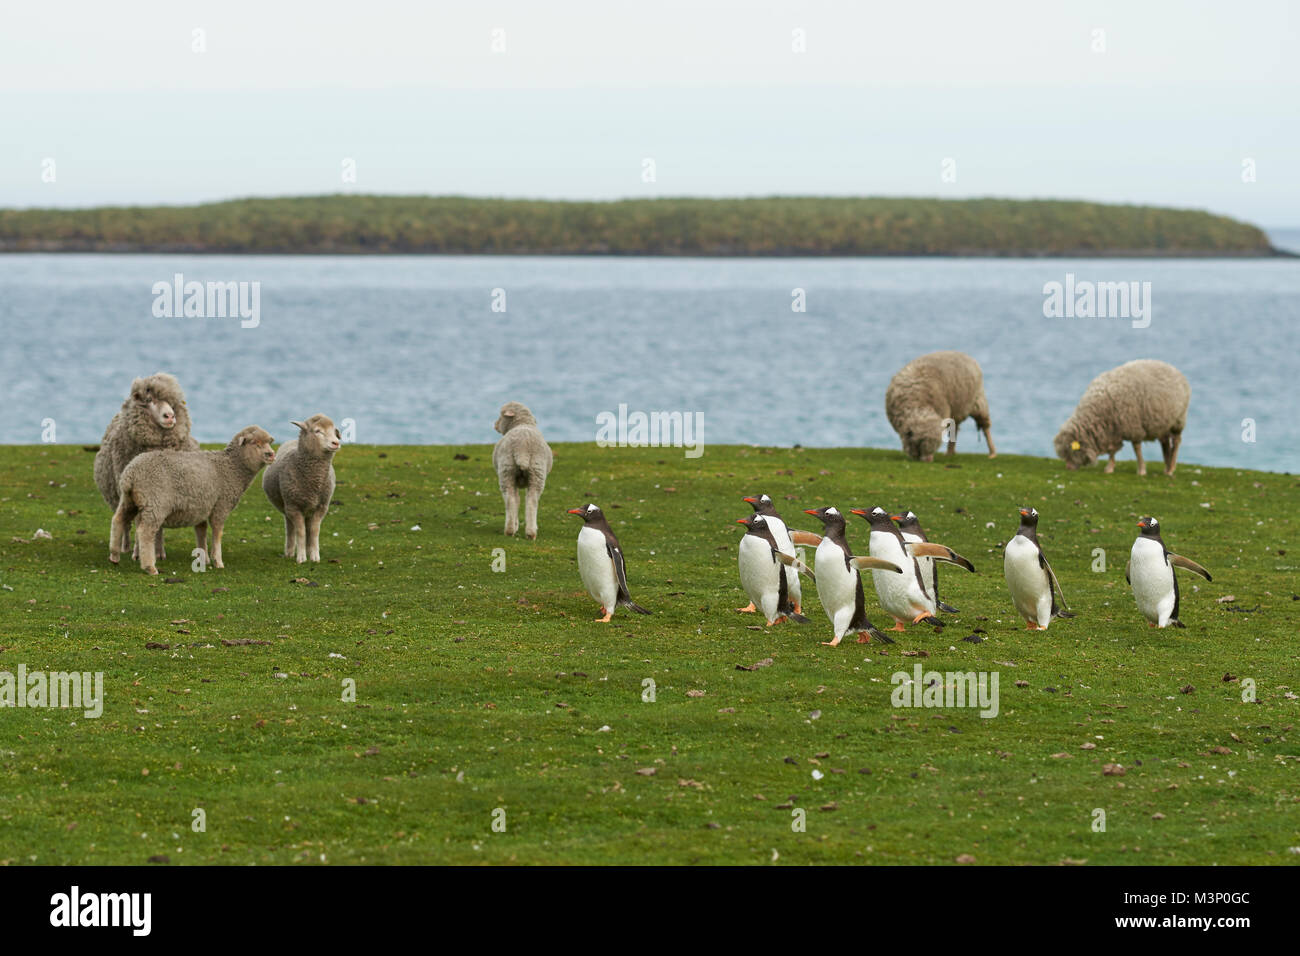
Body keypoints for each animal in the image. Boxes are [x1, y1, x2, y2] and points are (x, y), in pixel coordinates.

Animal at [93, 372, 200, 560]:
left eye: (172, 403)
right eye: (149, 400)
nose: (170, 416)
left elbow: (159, 524)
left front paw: (159, 552)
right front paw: (138, 553)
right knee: (126, 523)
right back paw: (125, 547)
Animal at [109, 426, 276, 574]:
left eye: (268, 442)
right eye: (255, 443)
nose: (271, 454)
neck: (232, 467)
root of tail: (131, 473)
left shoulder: (201, 507)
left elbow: (201, 532)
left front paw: (204, 558)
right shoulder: (221, 505)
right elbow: (217, 533)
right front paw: (218, 561)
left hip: (130, 500)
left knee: (118, 520)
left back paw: (114, 556)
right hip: (155, 503)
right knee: (145, 531)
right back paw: (150, 567)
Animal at [262, 415, 342, 563]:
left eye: (334, 431)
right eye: (317, 431)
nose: (336, 443)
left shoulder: (321, 507)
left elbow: (314, 531)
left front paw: (314, 556)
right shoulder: (294, 507)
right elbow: (300, 532)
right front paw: (301, 557)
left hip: (308, 508)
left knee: (308, 528)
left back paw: (308, 550)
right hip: (287, 506)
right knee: (290, 527)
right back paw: (289, 551)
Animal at [492, 401, 554, 539]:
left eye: (501, 415)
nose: (495, 425)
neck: (522, 423)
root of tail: (522, 449)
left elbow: (517, 500)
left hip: (510, 471)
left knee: (514, 500)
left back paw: (516, 531)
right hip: (533, 473)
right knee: (528, 501)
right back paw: (525, 531)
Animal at [1054, 359, 1190, 476]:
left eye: (1071, 450)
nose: (1068, 468)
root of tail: (1172, 367)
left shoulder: (1133, 425)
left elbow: (1136, 448)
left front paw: (1141, 470)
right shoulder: (1112, 430)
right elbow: (1112, 450)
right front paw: (1109, 468)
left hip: (1178, 420)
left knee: (1176, 441)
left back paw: (1171, 468)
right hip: (1164, 423)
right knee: (1165, 442)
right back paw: (1167, 468)